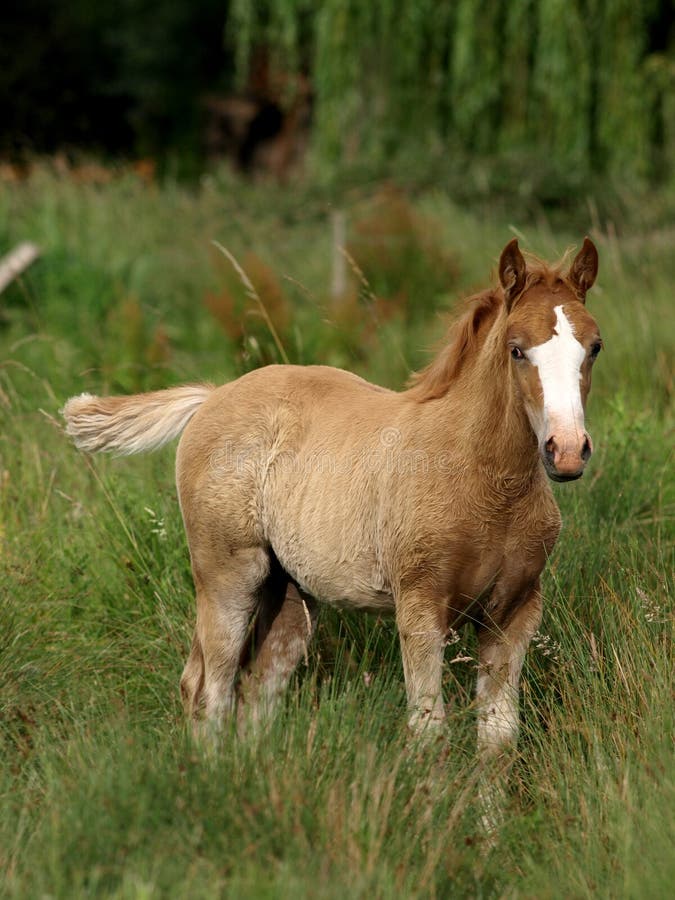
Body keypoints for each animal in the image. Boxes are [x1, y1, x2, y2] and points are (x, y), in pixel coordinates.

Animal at [63, 237, 601, 765]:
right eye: (516, 350)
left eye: (593, 347)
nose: (566, 450)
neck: (486, 484)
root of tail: (214, 396)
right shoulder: (420, 607)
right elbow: (429, 733)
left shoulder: (514, 611)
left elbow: (498, 738)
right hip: (227, 575)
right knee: (205, 689)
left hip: (290, 590)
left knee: (257, 688)